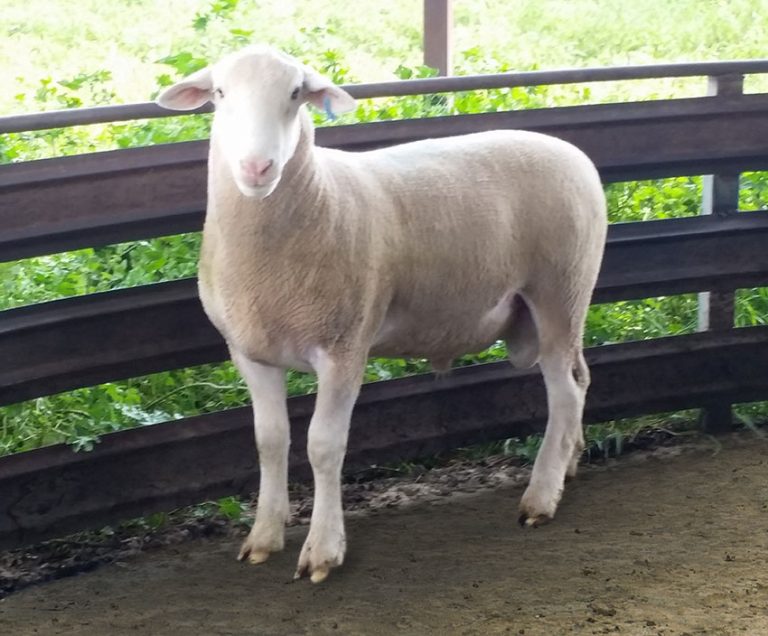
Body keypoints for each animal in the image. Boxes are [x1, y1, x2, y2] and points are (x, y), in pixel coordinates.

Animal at [157, 44, 608, 584]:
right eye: (221, 93)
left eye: (296, 93)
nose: (257, 167)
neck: (316, 199)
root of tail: (572, 152)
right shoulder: (251, 352)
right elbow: (270, 441)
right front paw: (263, 536)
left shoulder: (344, 346)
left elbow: (323, 445)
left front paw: (323, 550)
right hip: (564, 304)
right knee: (582, 378)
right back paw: (569, 463)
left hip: (560, 290)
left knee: (565, 392)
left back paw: (540, 497)